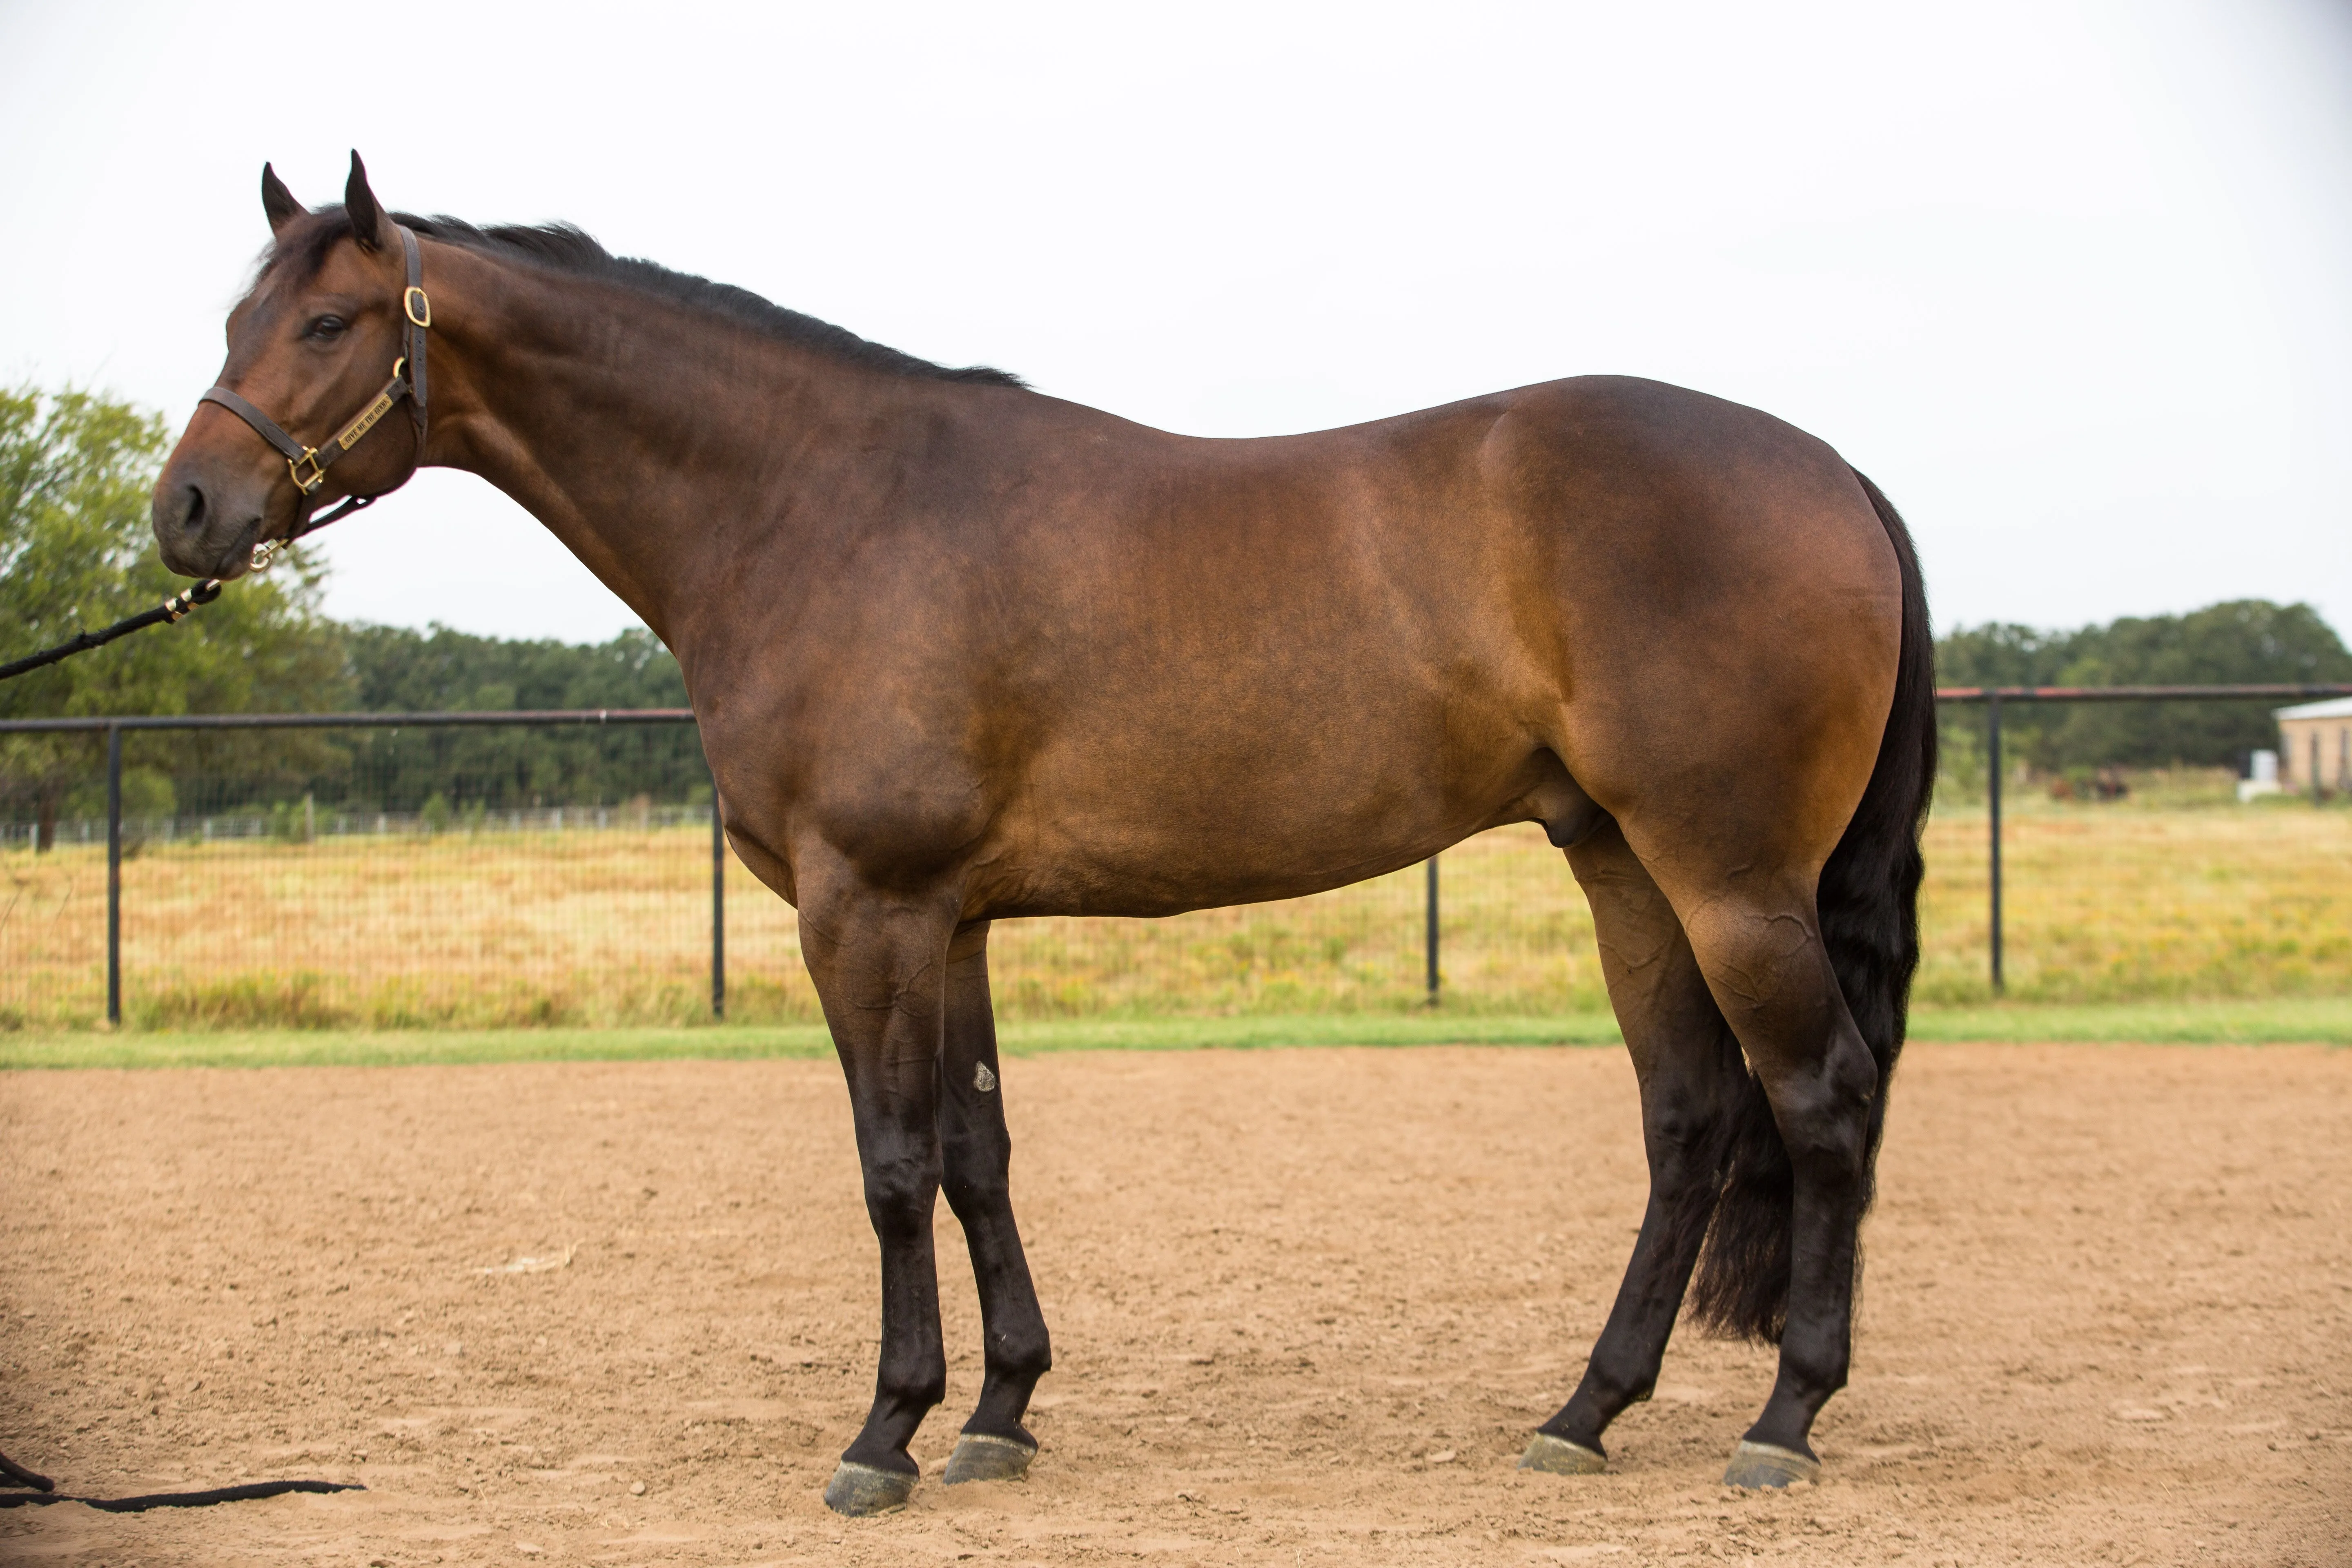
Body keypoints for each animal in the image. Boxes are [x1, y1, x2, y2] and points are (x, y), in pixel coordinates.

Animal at [151, 154, 1935, 1516]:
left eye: (328, 320)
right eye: (237, 316)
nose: (186, 512)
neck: (814, 504)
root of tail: (1833, 471)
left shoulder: (860, 909)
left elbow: (889, 1166)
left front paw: (885, 1434)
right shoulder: (949, 919)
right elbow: (976, 1153)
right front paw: (1001, 1412)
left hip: (1729, 882)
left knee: (1824, 1103)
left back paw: (1783, 1421)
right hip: (1626, 866)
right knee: (1690, 1122)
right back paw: (1586, 1414)